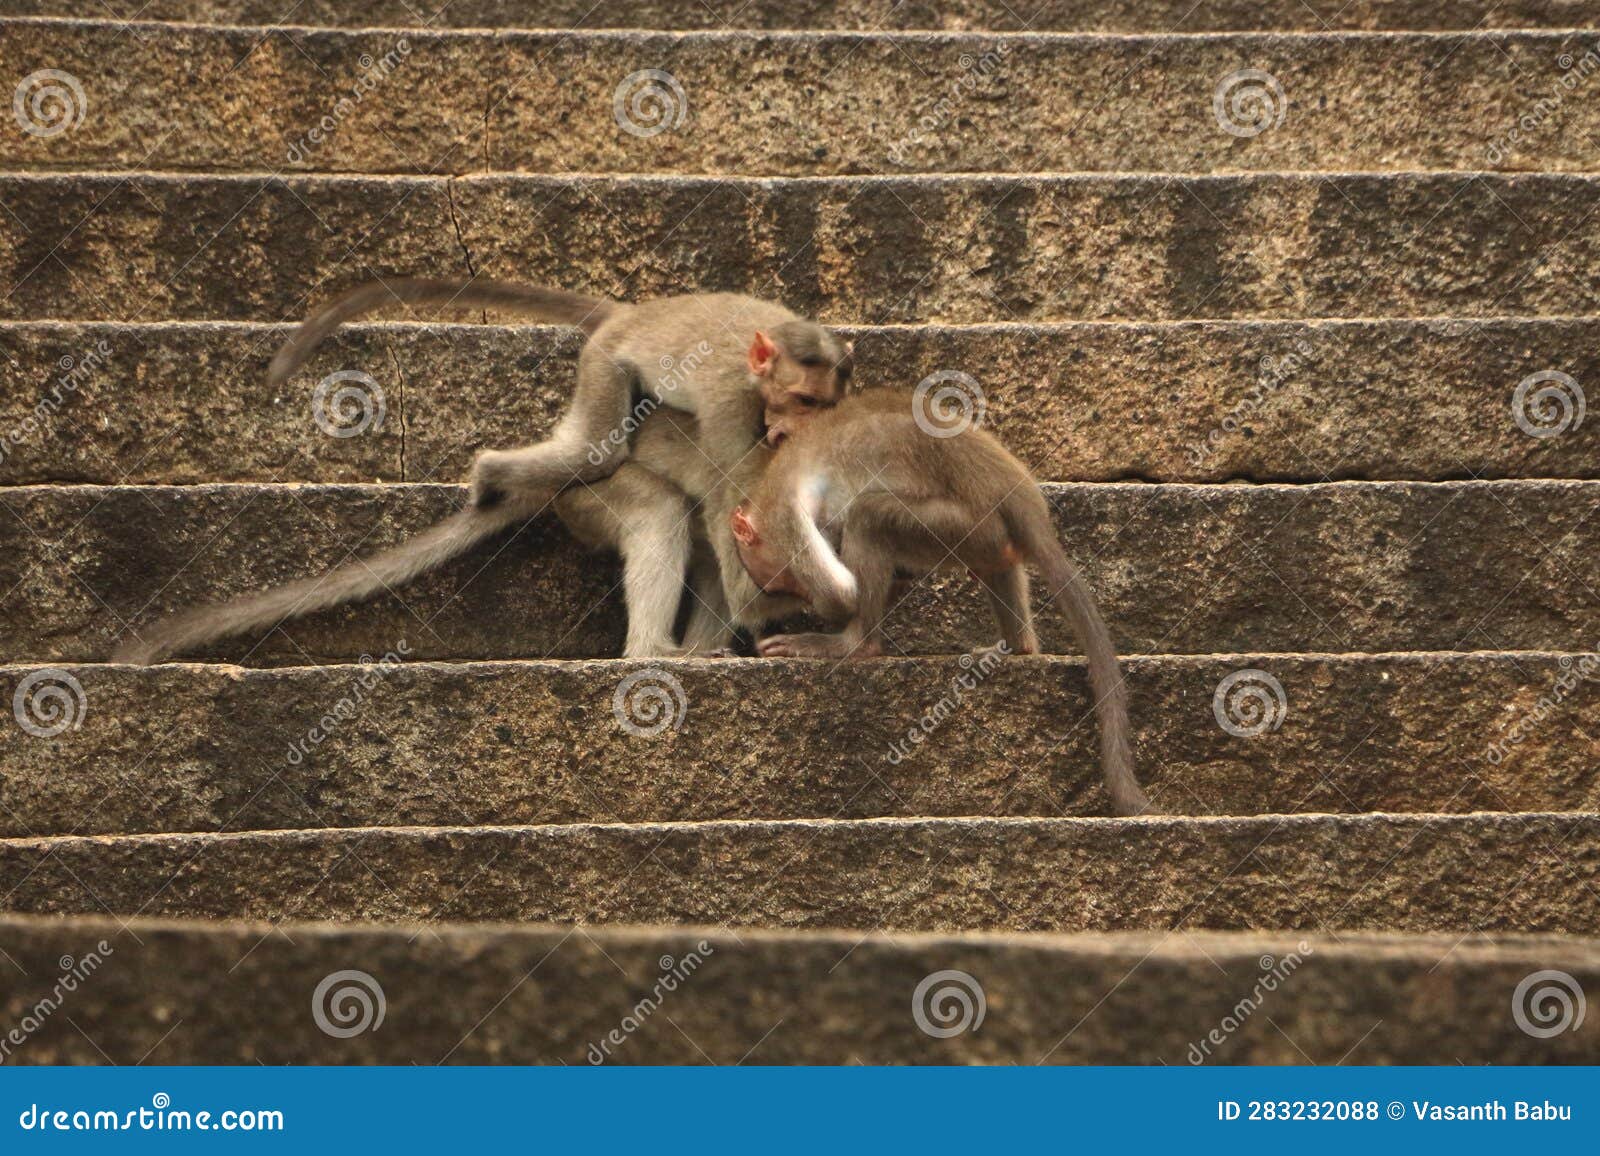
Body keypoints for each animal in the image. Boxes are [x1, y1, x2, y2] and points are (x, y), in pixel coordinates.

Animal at [111, 278, 851, 664]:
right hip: (596, 437)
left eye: (820, 405)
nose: (793, 427)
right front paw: (794, 614)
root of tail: (630, 312)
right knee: (636, 488)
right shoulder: (735, 406)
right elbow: (734, 503)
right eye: (801, 400)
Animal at [715, 389, 1155, 817]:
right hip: (985, 536)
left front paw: (833, 609)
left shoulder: (783, 519)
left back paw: (855, 644)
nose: (802, 594)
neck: (766, 489)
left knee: (870, 516)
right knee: (998, 563)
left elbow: (841, 592)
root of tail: (1014, 489)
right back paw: (1018, 645)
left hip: (956, 526)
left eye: (786, 582)